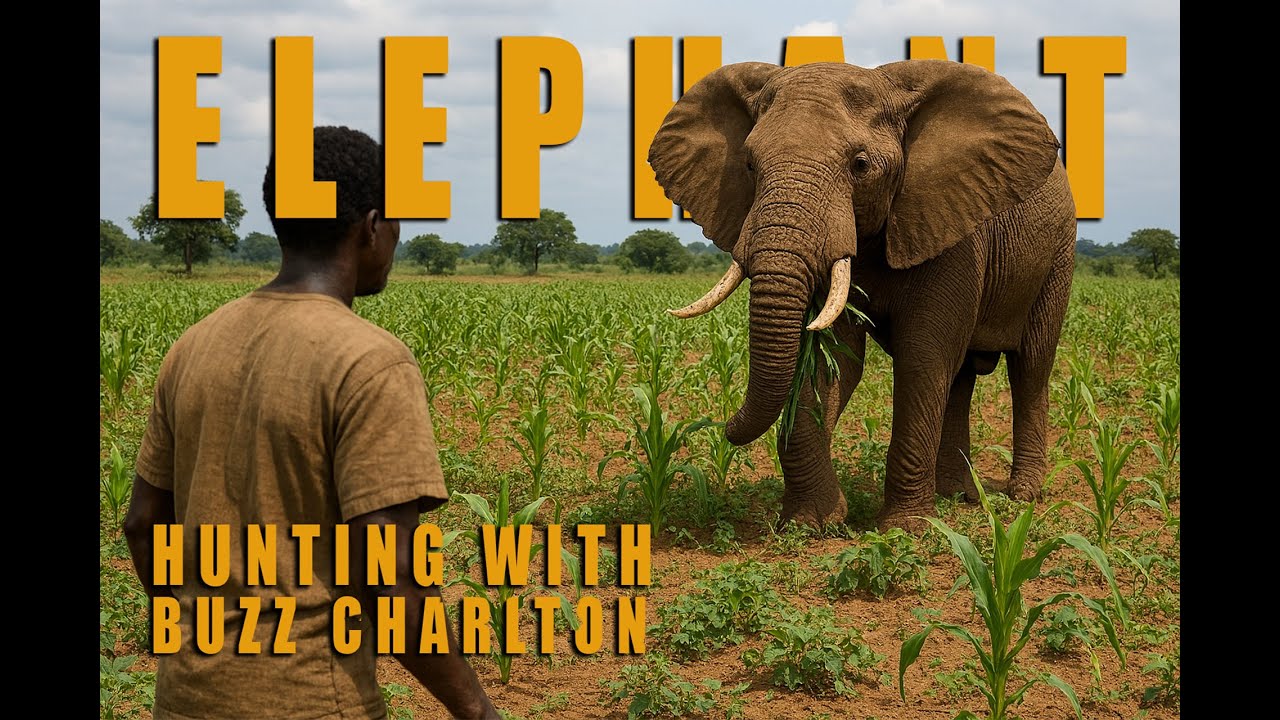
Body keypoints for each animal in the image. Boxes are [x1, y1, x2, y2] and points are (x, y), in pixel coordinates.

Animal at [649, 59, 1075, 532]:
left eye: (860, 164)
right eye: (749, 165)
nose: (719, 426)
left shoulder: (953, 231)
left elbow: (922, 358)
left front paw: (906, 529)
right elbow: (832, 362)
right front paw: (812, 522)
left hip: (1059, 256)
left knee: (1031, 367)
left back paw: (1022, 496)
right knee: (961, 377)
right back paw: (956, 494)